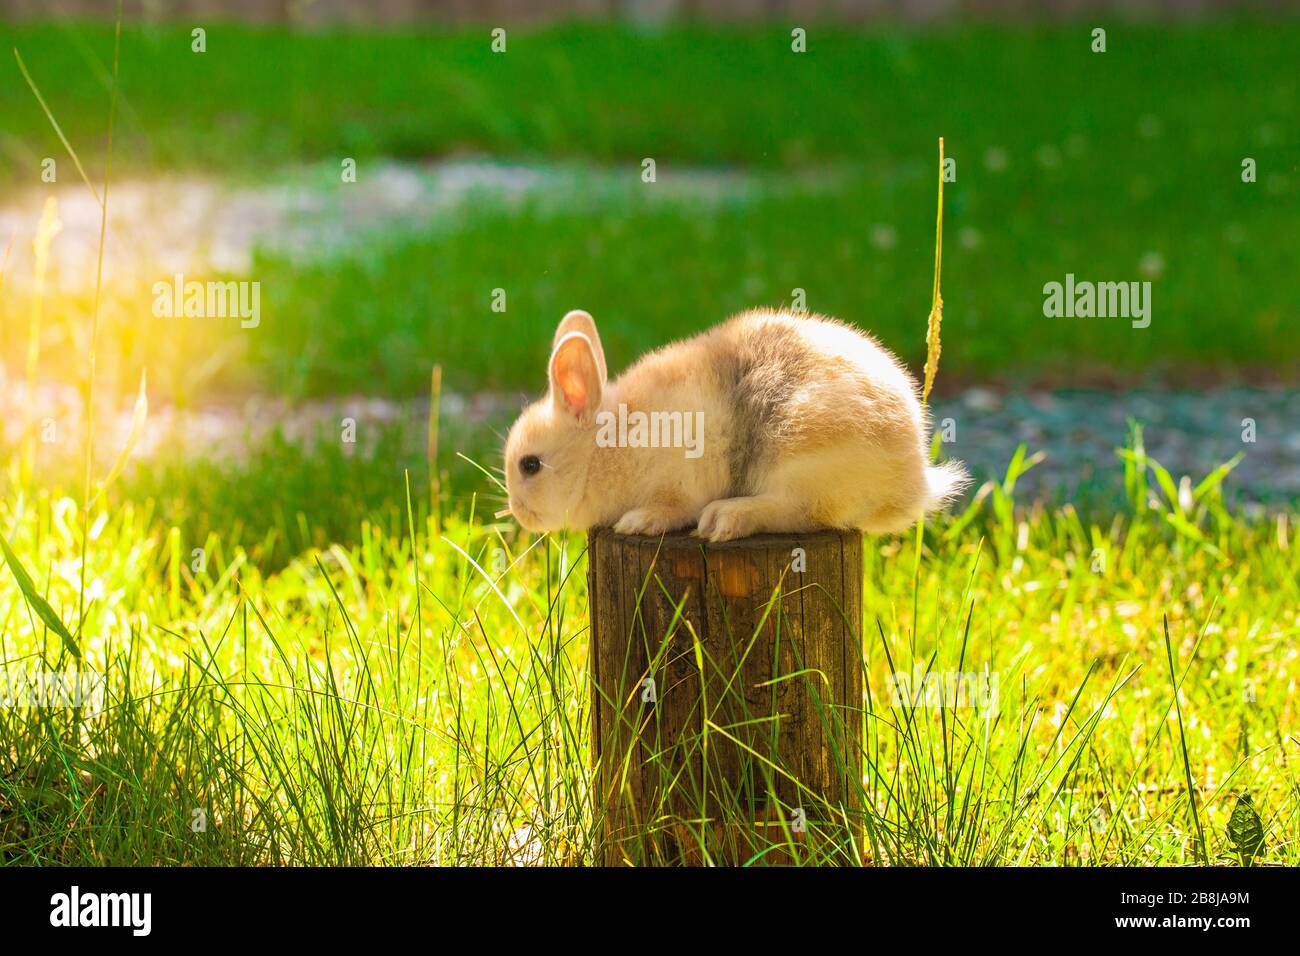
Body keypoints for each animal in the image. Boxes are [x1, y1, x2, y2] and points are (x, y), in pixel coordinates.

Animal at [502, 308, 968, 542]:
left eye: (530, 465)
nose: (519, 515)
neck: (605, 446)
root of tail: (912, 481)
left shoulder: (680, 481)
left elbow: (671, 507)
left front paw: (637, 522)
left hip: (799, 455)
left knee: (798, 512)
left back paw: (724, 520)